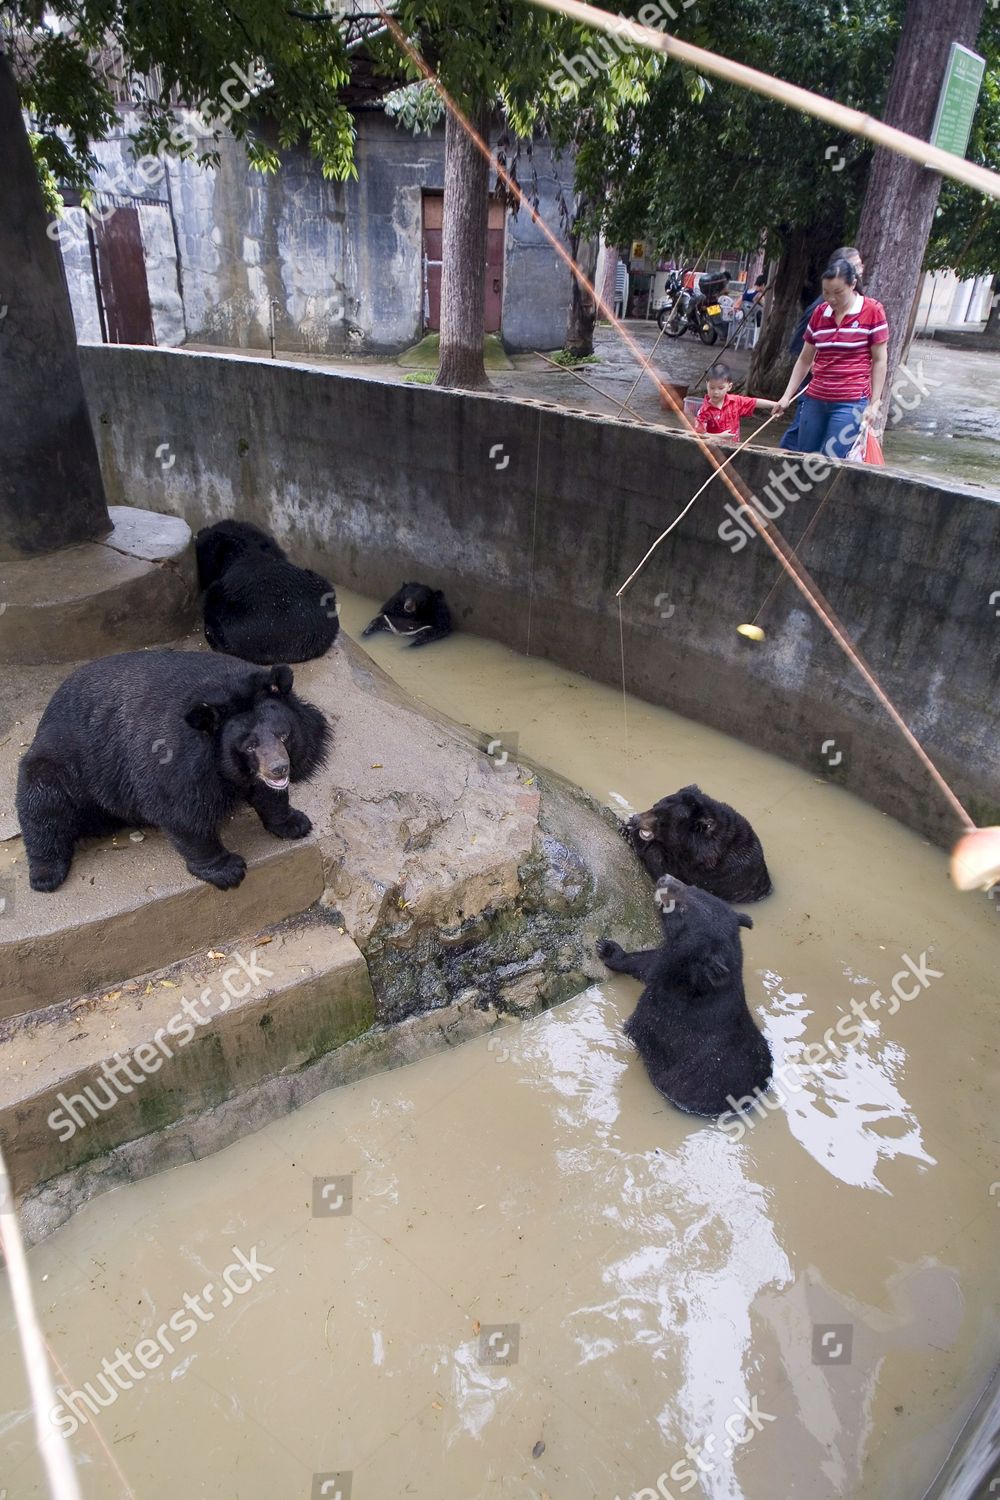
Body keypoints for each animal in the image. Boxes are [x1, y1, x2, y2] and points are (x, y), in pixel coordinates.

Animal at [16, 651, 330, 893]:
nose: (279, 769)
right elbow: (182, 812)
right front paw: (228, 870)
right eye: (250, 745)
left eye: (283, 735)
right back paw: (46, 874)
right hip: (64, 759)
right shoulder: (178, 761)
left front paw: (294, 823)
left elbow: (268, 795)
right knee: (43, 806)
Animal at [597, 873, 772, 1118]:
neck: (693, 985)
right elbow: (648, 962)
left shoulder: (668, 1012)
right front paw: (610, 949)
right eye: (695, 887)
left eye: (682, 908)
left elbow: (642, 1024)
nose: (665, 878)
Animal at [620, 784, 772, 903]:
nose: (636, 819)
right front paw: (627, 826)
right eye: (655, 805)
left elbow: (663, 867)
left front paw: (631, 835)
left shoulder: (712, 873)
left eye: (661, 819)